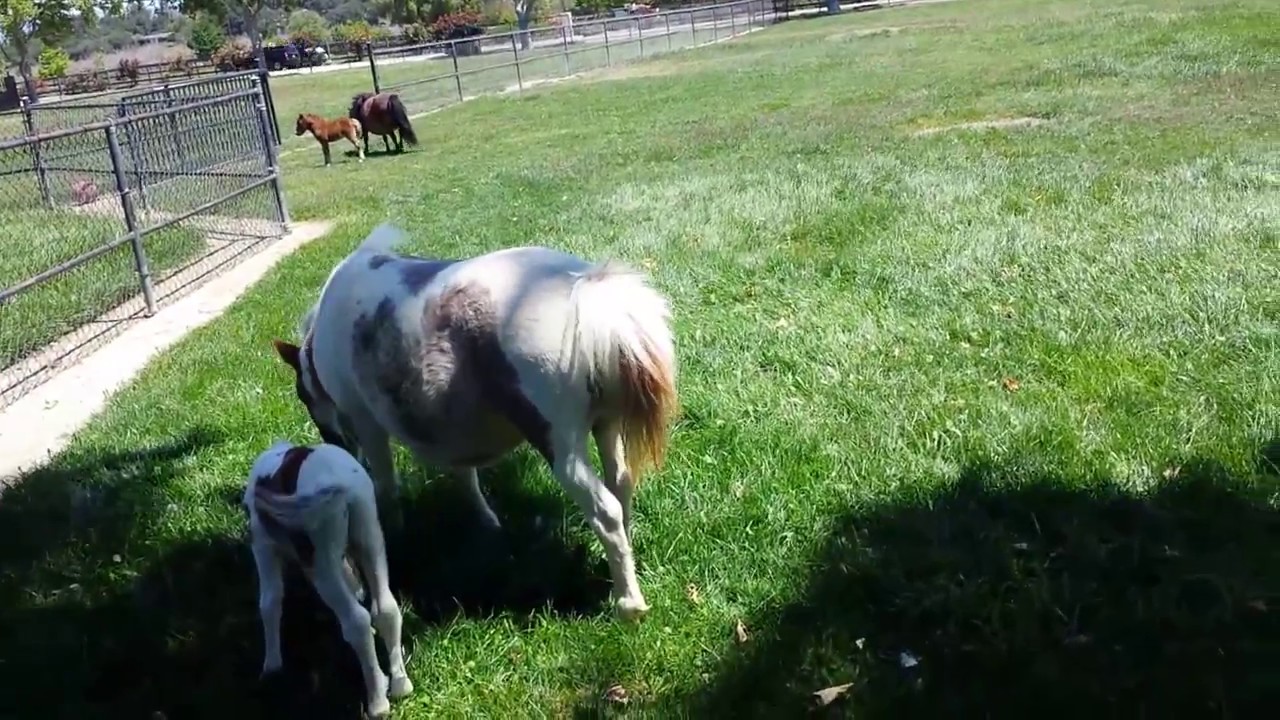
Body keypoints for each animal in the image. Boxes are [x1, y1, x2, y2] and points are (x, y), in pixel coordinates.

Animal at [244, 440, 412, 718]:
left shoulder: (262, 545)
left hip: (320, 555)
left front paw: (271, 668)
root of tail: (341, 484)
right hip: (369, 532)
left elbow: (269, 601)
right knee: (386, 608)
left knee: (356, 621)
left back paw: (377, 701)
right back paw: (400, 684)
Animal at [270, 223, 679, 622]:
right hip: (606, 424)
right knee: (621, 485)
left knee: (606, 511)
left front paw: (396, 533)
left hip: (561, 446)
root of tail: (593, 300)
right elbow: (465, 476)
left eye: (302, 394)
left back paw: (629, 604)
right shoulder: (449, 429)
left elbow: (385, 484)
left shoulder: (367, 422)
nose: (330, 440)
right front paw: (487, 525)